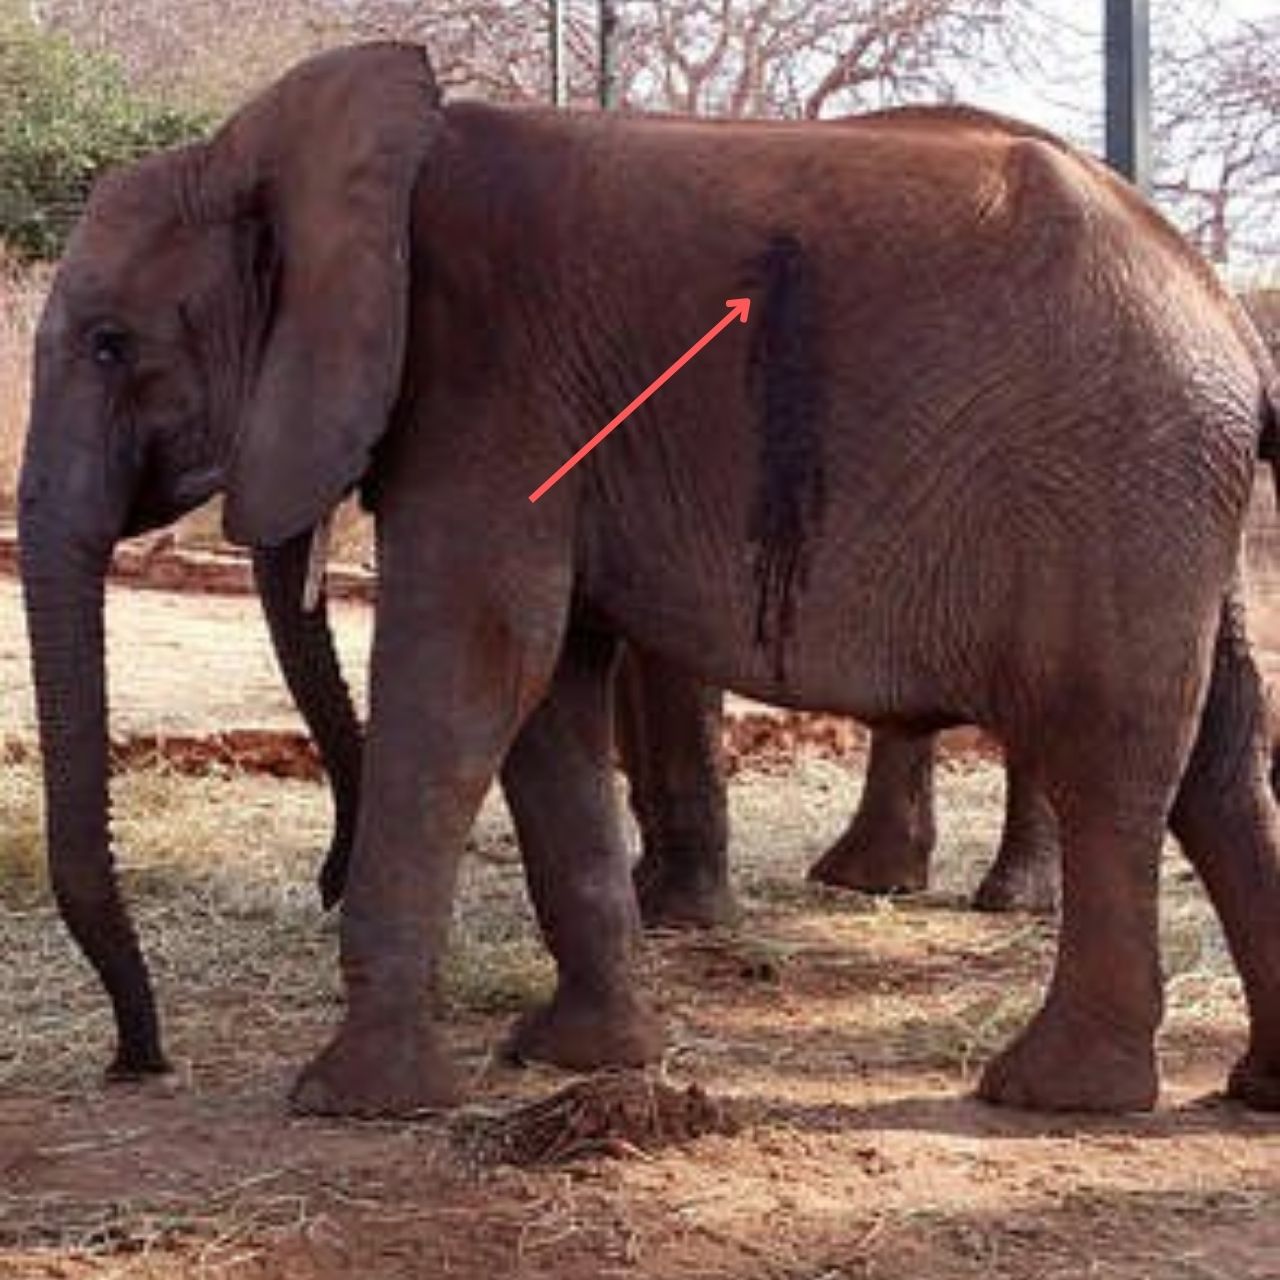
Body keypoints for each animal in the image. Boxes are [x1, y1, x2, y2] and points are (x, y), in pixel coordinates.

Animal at [18, 44, 1280, 1117]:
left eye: (109, 346)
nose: (140, 1061)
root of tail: (1226, 313)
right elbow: (547, 693)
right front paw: (582, 1057)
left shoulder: (490, 380)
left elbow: (471, 664)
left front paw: (350, 1101)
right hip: (1167, 494)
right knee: (1218, 765)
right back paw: (1247, 1088)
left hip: (1115, 479)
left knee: (1107, 748)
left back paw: (1050, 1091)